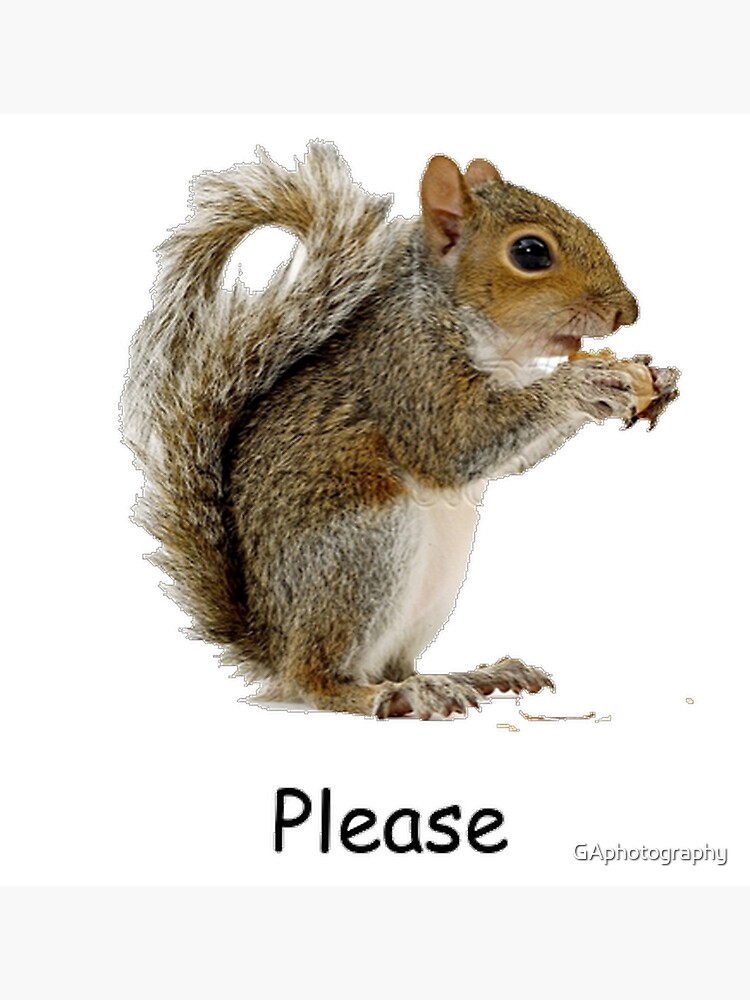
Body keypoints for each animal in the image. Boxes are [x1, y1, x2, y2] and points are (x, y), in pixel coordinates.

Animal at [122, 141, 678, 720]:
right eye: (530, 253)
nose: (626, 311)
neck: (459, 319)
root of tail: (271, 641)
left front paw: (654, 376)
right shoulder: (409, 375)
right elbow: (459, 442)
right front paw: (581, 383)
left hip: (434, 584)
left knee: (395, 662)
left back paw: (470, 676)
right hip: (362, 551)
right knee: (315, 679)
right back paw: (389, 694)